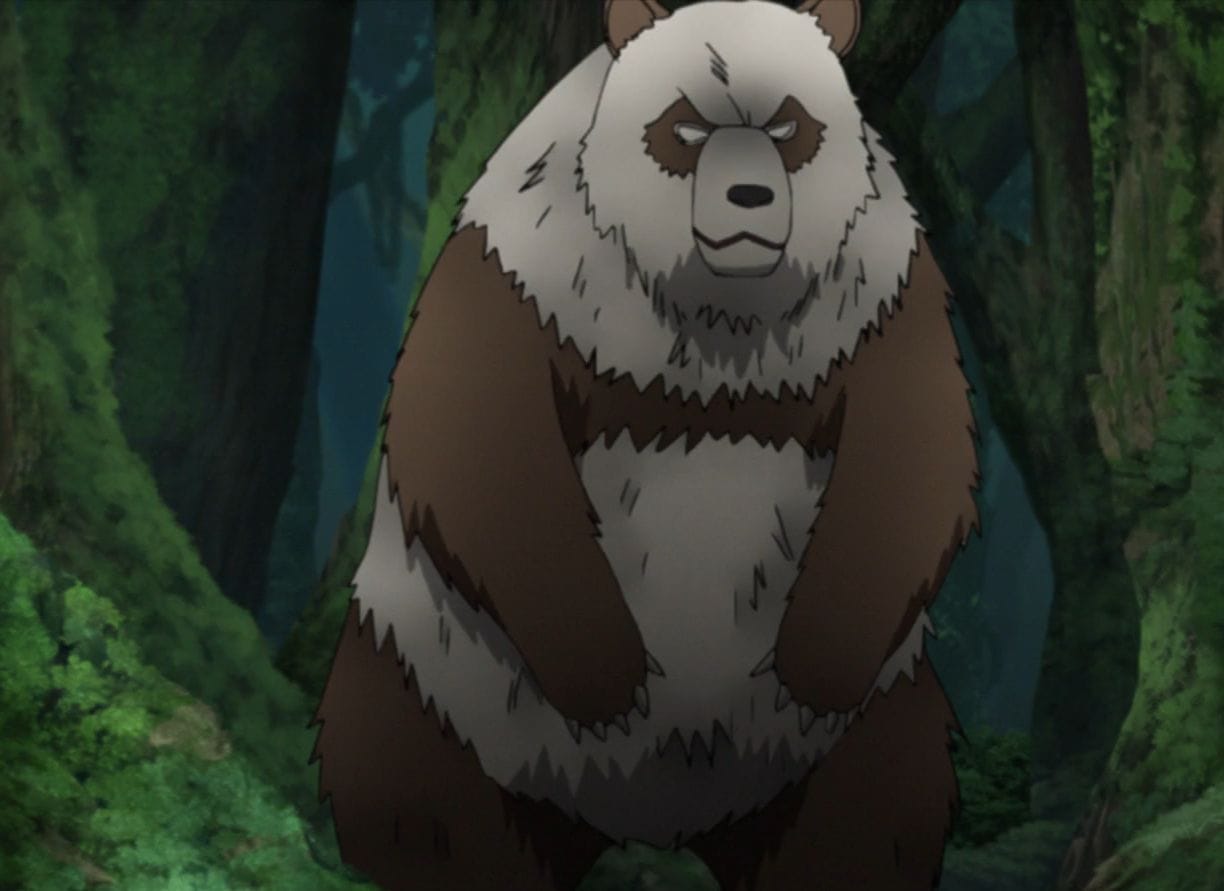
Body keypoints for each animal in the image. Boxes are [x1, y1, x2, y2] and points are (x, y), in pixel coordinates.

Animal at [310, 1, 981, 889]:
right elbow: (476, 451)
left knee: (873, 813)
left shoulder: (876, 290)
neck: (720, 309)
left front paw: (816, 664)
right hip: (435, 673)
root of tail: (644, 822)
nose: (748, 196)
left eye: (788, 125)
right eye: (686, 126)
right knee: (413, 796)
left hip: (864, 722)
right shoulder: (532, 269)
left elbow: (917, 459)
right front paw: (609, 680)